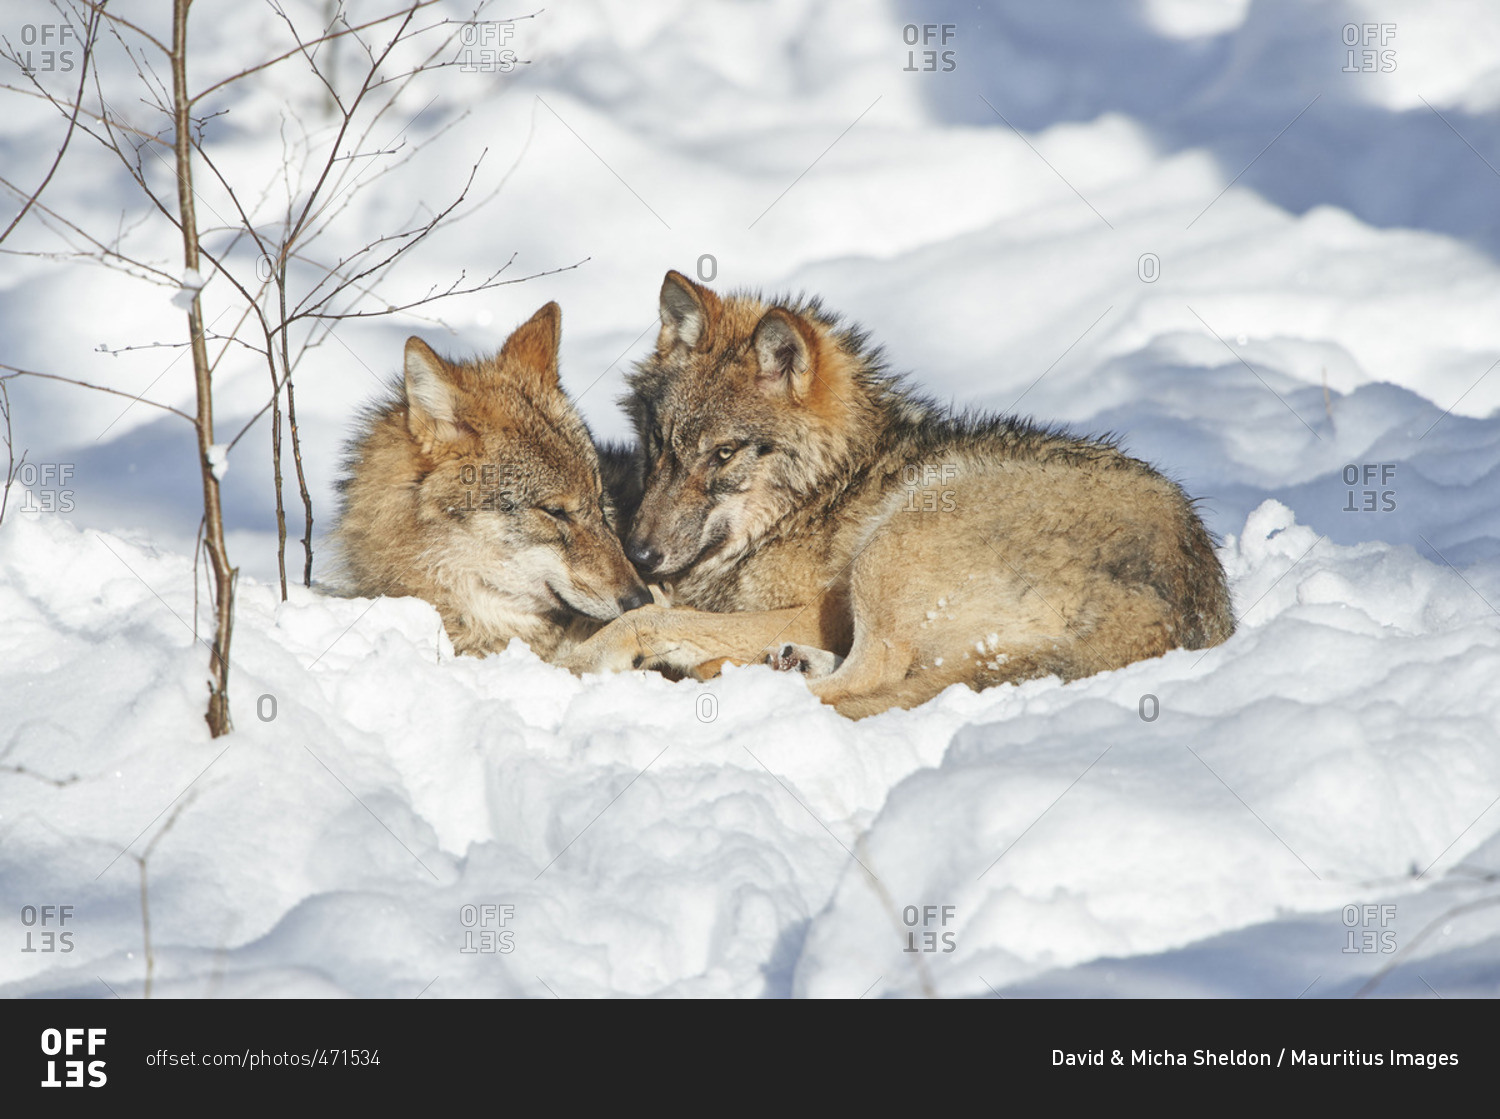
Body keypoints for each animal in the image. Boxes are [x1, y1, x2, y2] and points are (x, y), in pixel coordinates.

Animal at [561, 272, 1235, 717]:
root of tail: (1180, 598)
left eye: (724, 454)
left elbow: (652, 615)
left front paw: (584, 658)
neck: (826, 491)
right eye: (660, 443)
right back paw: (783, 662)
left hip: (893, 542)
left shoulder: (816, 608)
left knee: (869, 675)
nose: (638, 555)